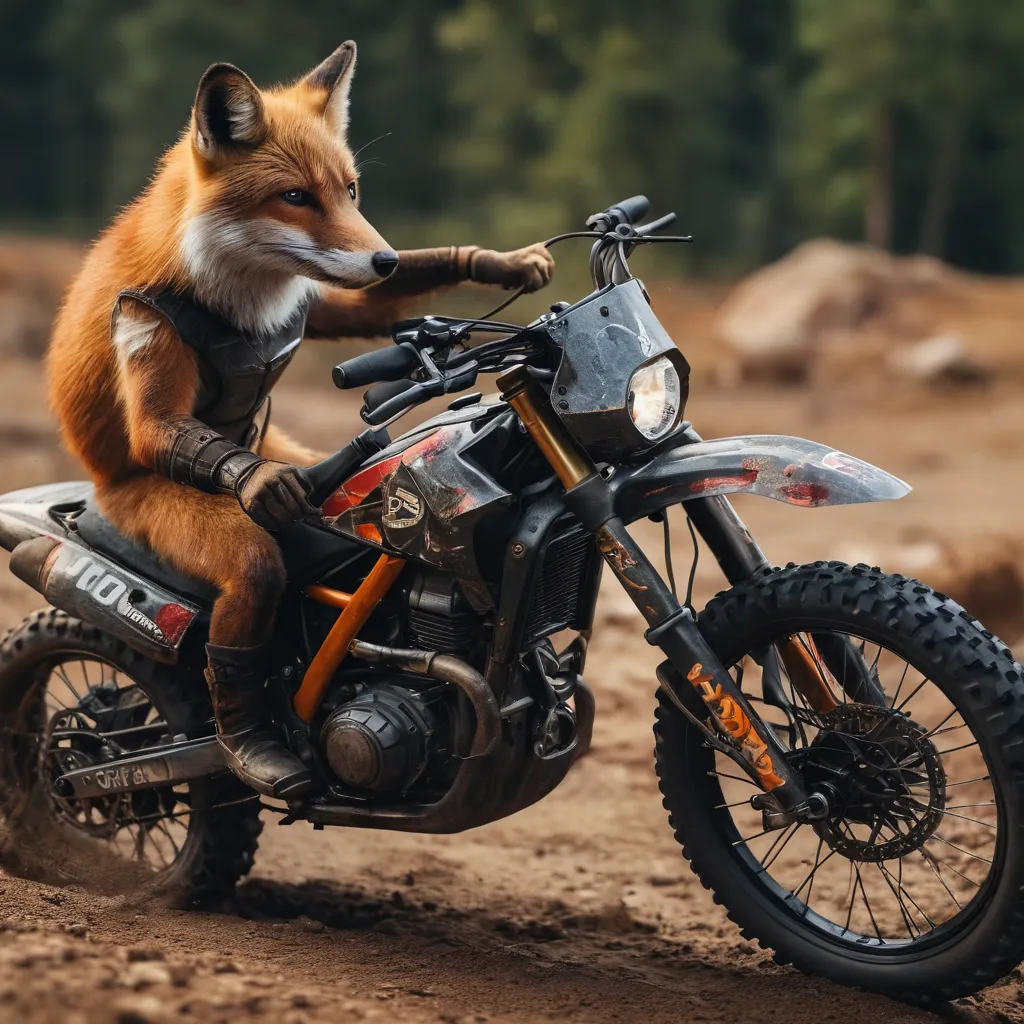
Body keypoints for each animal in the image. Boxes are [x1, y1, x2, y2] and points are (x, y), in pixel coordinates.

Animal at [45, 40, 555, 799]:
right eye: (295, 197)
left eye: (350, 190)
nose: (383, 257)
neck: (234, 293)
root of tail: (86, 501)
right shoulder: (146, 323)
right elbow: (159, 424)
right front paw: (259, 486)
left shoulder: (314, 298)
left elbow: (363, 303)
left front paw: (499, 263)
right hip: (184, 551)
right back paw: (243, 750)